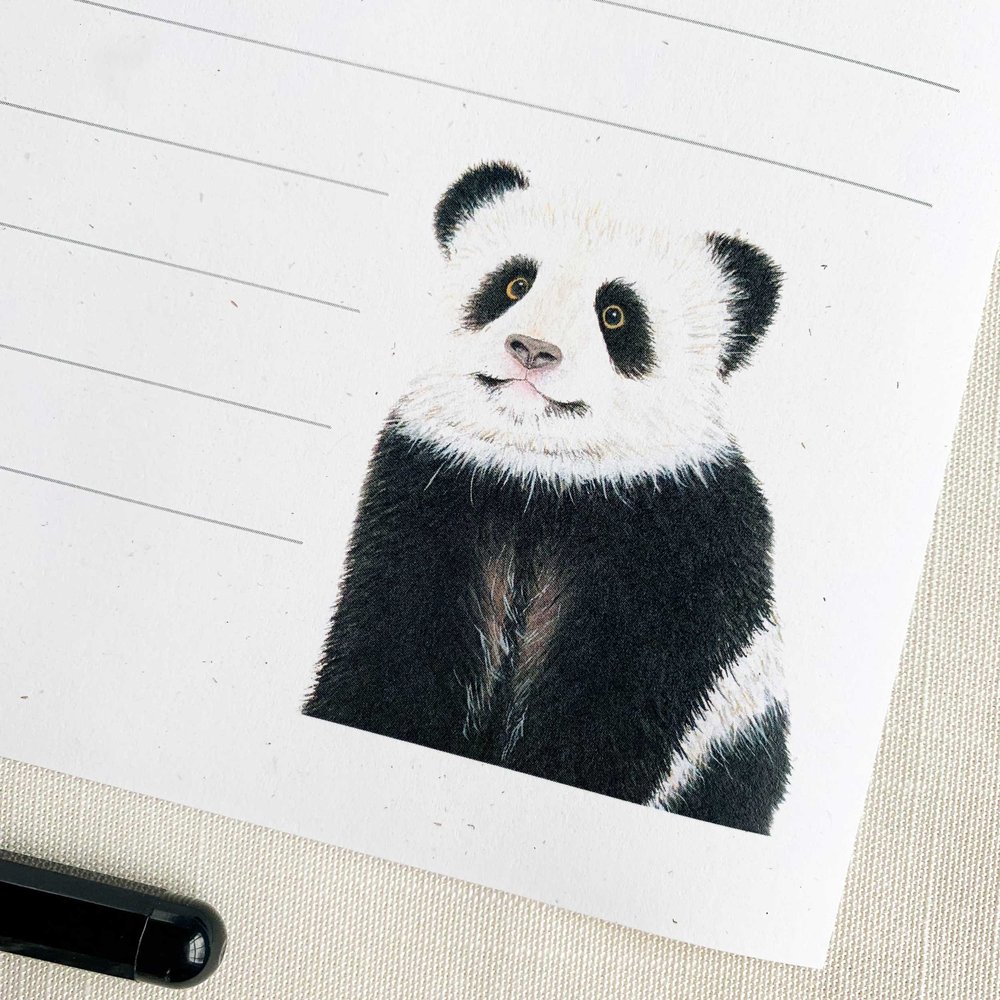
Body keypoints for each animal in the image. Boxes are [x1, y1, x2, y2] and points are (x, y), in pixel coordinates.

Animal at [304, 161, 790, 835]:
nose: (533, 351)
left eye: (615, 315)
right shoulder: (432, 489)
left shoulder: (684, 535)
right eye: (514, 283)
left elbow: (619, 705)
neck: (544, 477)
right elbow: (393, 646)